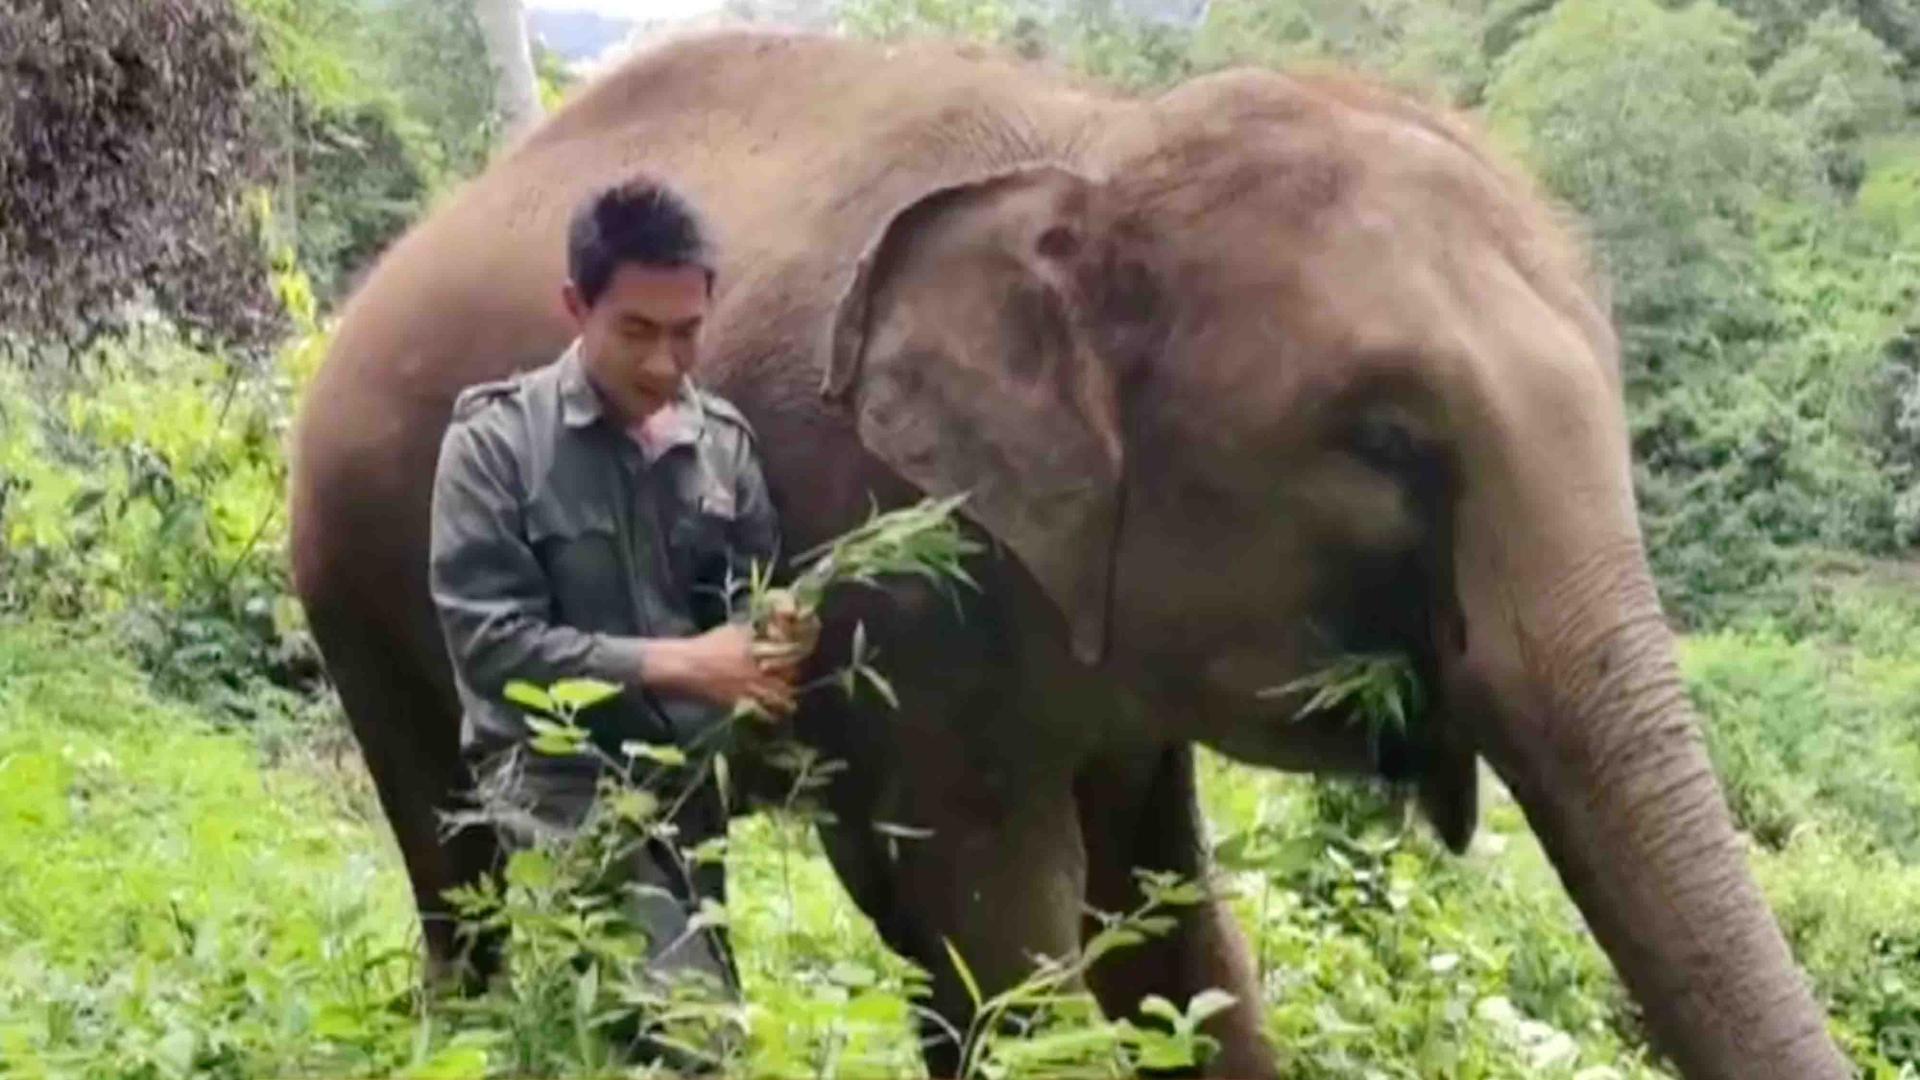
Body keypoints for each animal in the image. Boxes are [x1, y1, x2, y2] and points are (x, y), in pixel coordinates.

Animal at [287, 29, 1847, 1079]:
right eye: (1390, 441)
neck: (1106, 150)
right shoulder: (905, 560)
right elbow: (1003, 921)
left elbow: (1163, 933)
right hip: (364, 573)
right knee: (478, 868)